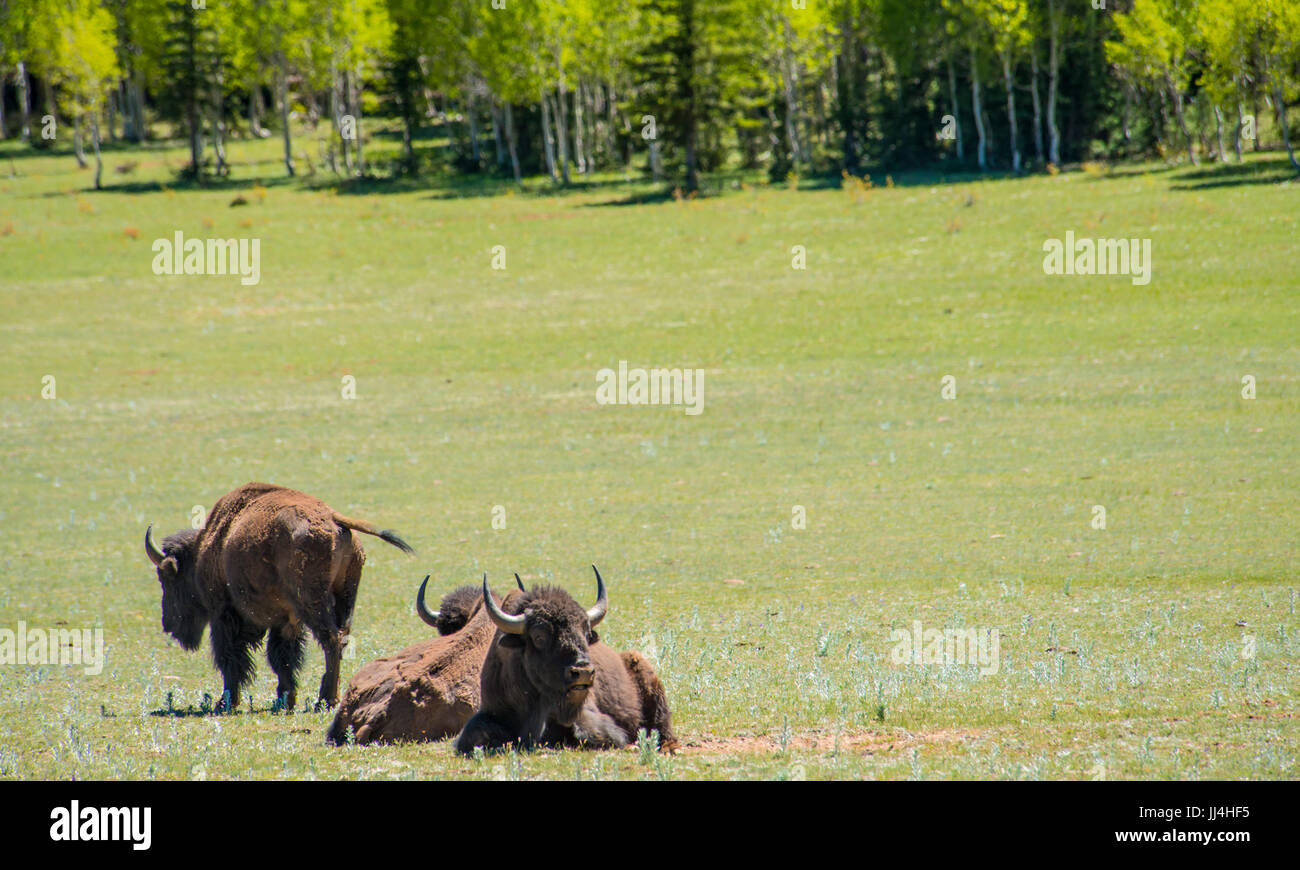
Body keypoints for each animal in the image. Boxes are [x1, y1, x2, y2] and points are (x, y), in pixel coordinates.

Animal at [144, 482, 414, 712]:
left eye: (167, 580)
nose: (168, 625)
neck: (210, 544)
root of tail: (332, 517)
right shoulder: (285, 621)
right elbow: (283, 658)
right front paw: (285, 699)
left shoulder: (223, 614)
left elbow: (231, 658)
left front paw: (225, 702)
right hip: (345, 596)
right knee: (341, 638)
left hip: (313, 603)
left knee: (331, 640)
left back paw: (324, 701)